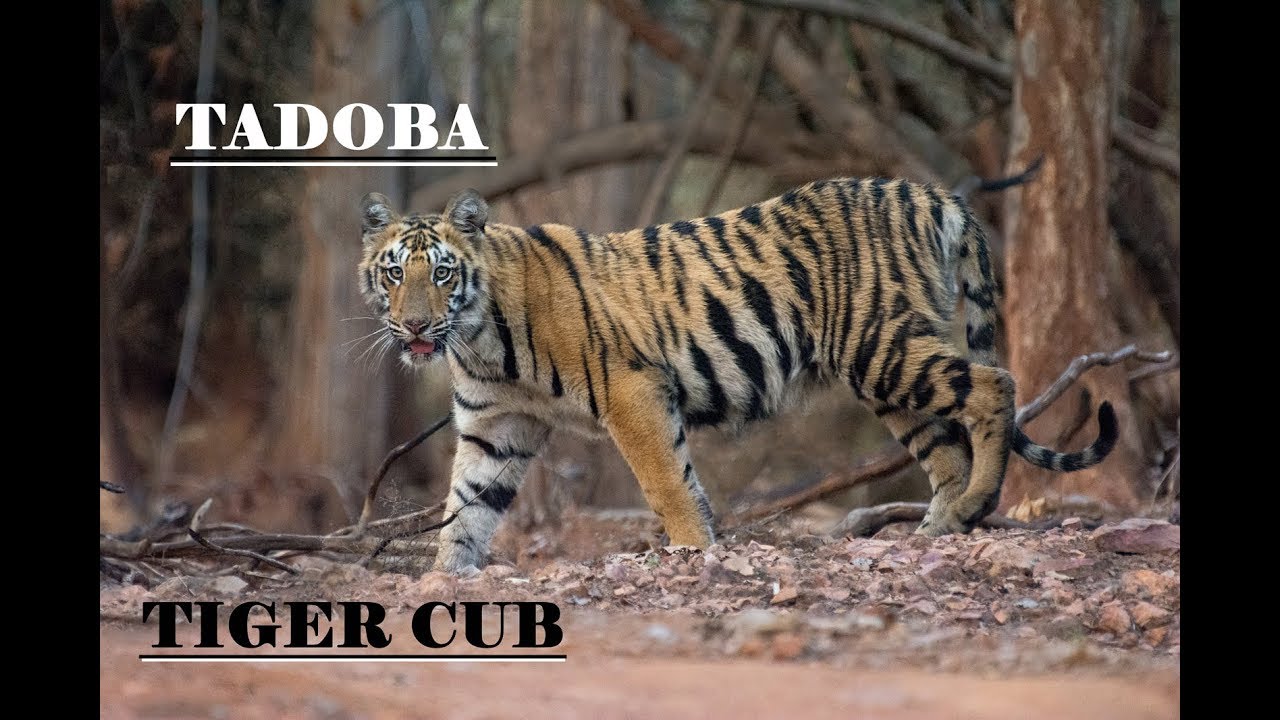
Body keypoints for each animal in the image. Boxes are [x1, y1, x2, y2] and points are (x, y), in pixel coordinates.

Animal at [356, 177, 1117, 574]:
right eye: (394, 273)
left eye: (442, 273)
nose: (416, 328)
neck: (479, 339)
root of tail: (926, 190)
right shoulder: (497, 425)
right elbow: (467, 505)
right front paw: (443, 580)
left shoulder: (632, 390)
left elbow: (667, 484)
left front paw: (696, 553)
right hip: (886, 372)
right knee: (947, 446)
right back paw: (940, 526)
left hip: (882, 347)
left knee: (995, 387)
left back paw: (975, 506)